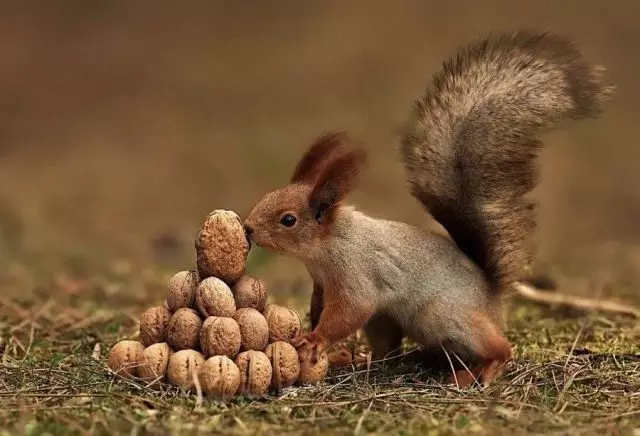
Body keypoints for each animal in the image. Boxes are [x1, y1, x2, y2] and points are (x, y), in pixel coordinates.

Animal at [244, 31, 608, 388]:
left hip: (444, 316)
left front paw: (316, 338)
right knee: (388, 350)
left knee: (502, 349)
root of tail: (492, 298)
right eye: (269, 195)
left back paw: (479, 372)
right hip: (385, 319)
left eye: (288, 219)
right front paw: (313, 323)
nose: (248, 228)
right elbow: (321, 304)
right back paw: (358, 359)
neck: (327, 244)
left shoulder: (356, 272)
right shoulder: (321, 281)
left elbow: (350, 310)